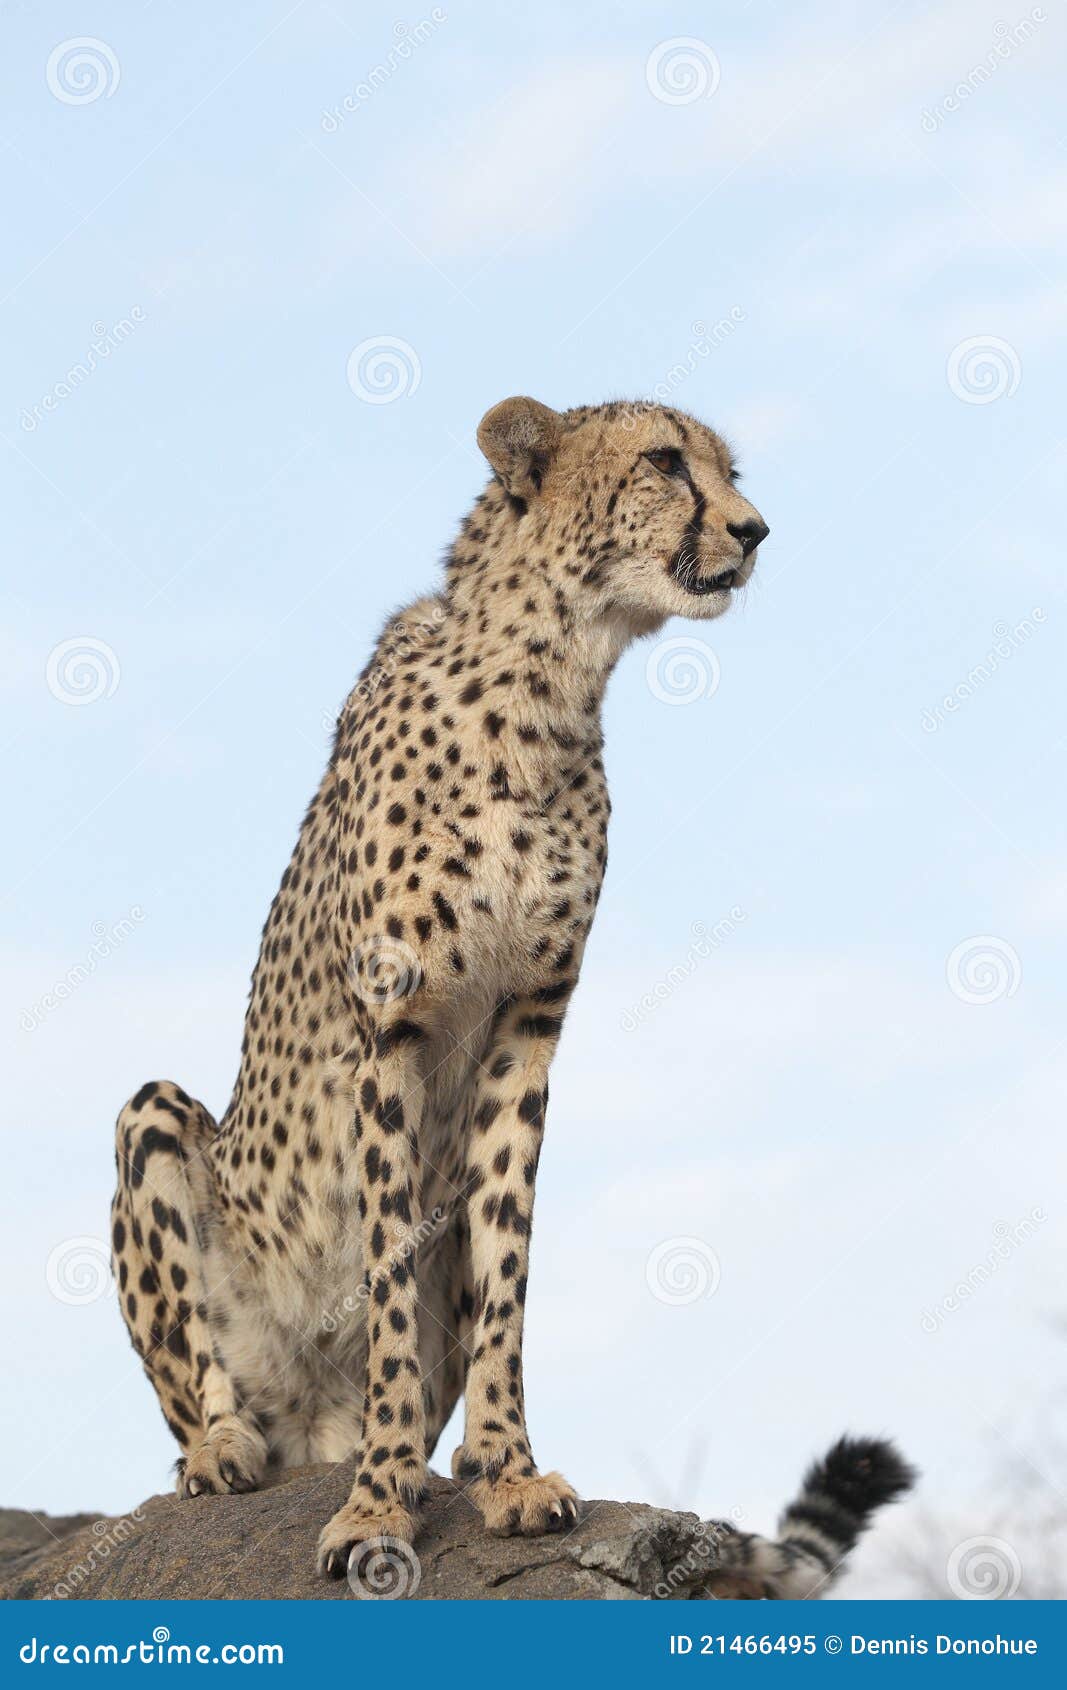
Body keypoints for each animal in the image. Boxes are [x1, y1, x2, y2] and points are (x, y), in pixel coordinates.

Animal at [110, 395, 773, 1579]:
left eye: (728, 470)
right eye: (663, 462)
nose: (754, 530)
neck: (550, 680)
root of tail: (309, 1424)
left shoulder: (525, 1024)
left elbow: (505, 1266)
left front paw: (505, 1467)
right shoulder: (393, 1030)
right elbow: (382, 1273)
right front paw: (378, 1502)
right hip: (155, 1122)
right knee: (199, 1394)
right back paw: (232, 1448)